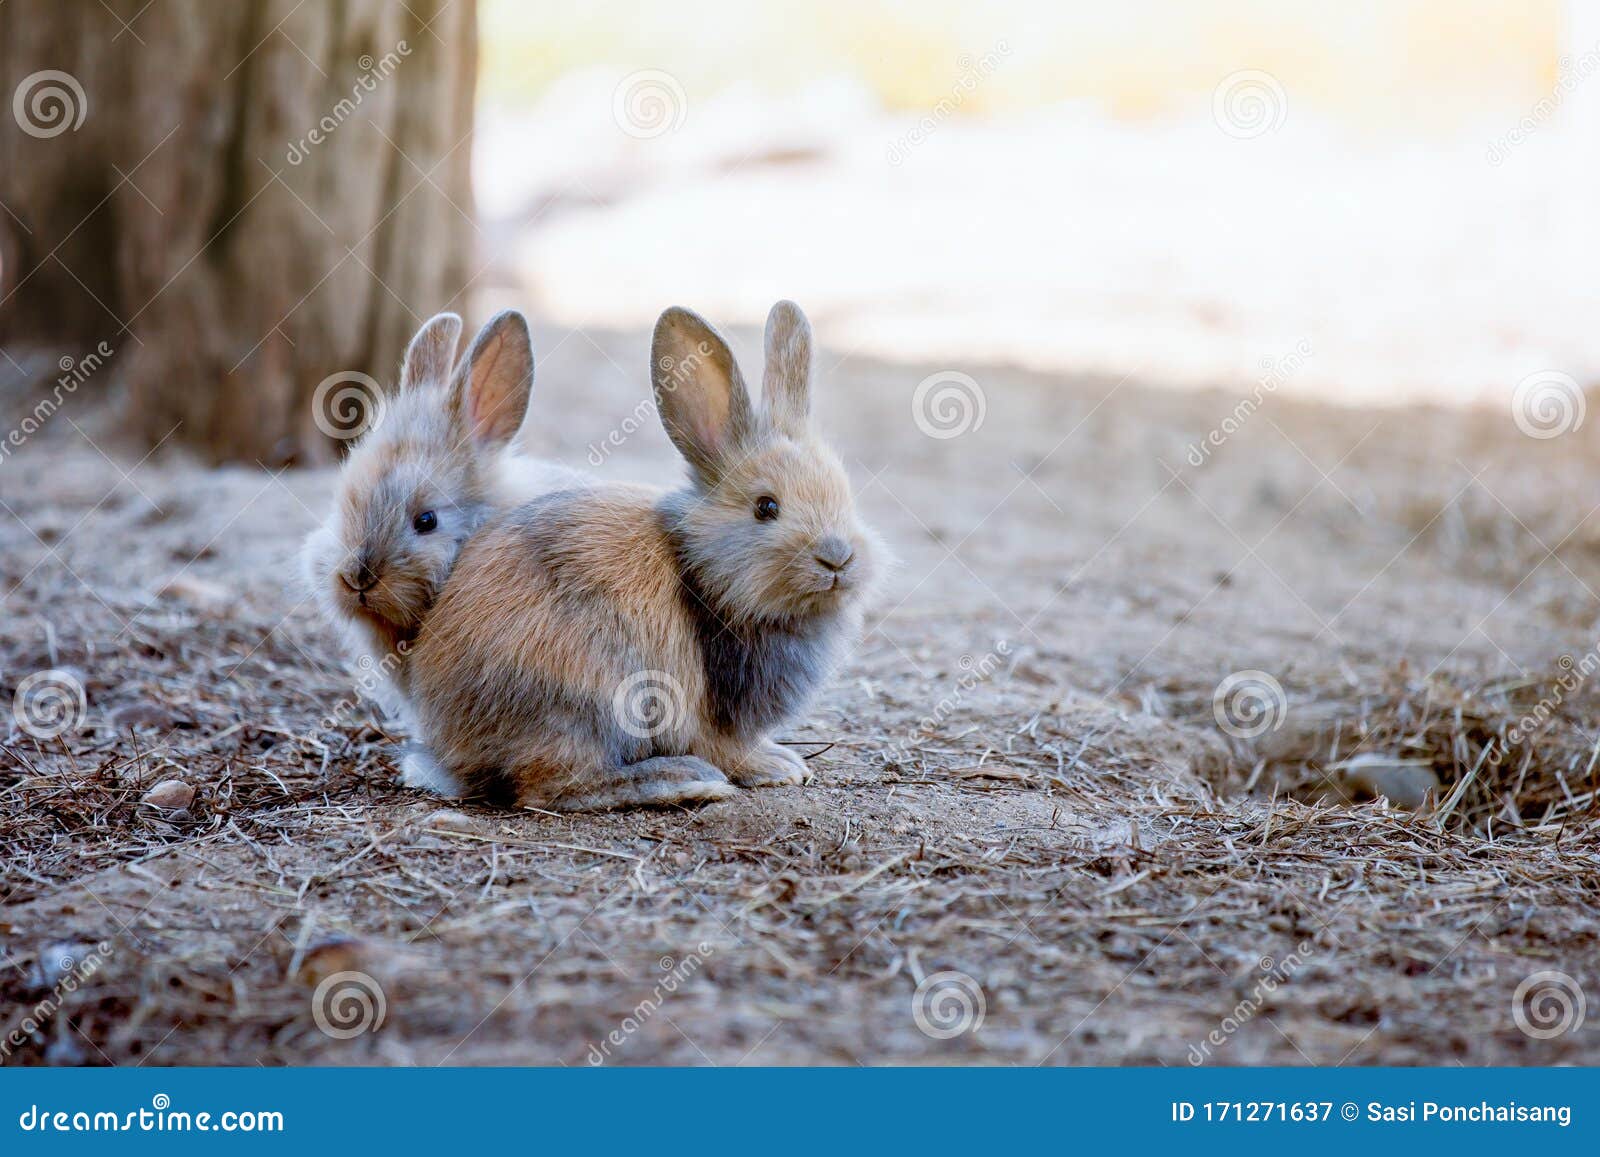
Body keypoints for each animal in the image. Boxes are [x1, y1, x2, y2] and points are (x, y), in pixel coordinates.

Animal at [405, 300, 882, 810]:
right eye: (766, 507)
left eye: (844, 493)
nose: (837, 558)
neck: (705, 570)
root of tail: (448, 748)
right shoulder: (711, 713)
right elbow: (726, 747)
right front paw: (777, 767)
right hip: (584, 703)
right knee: (550, 785)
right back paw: (678, 779)